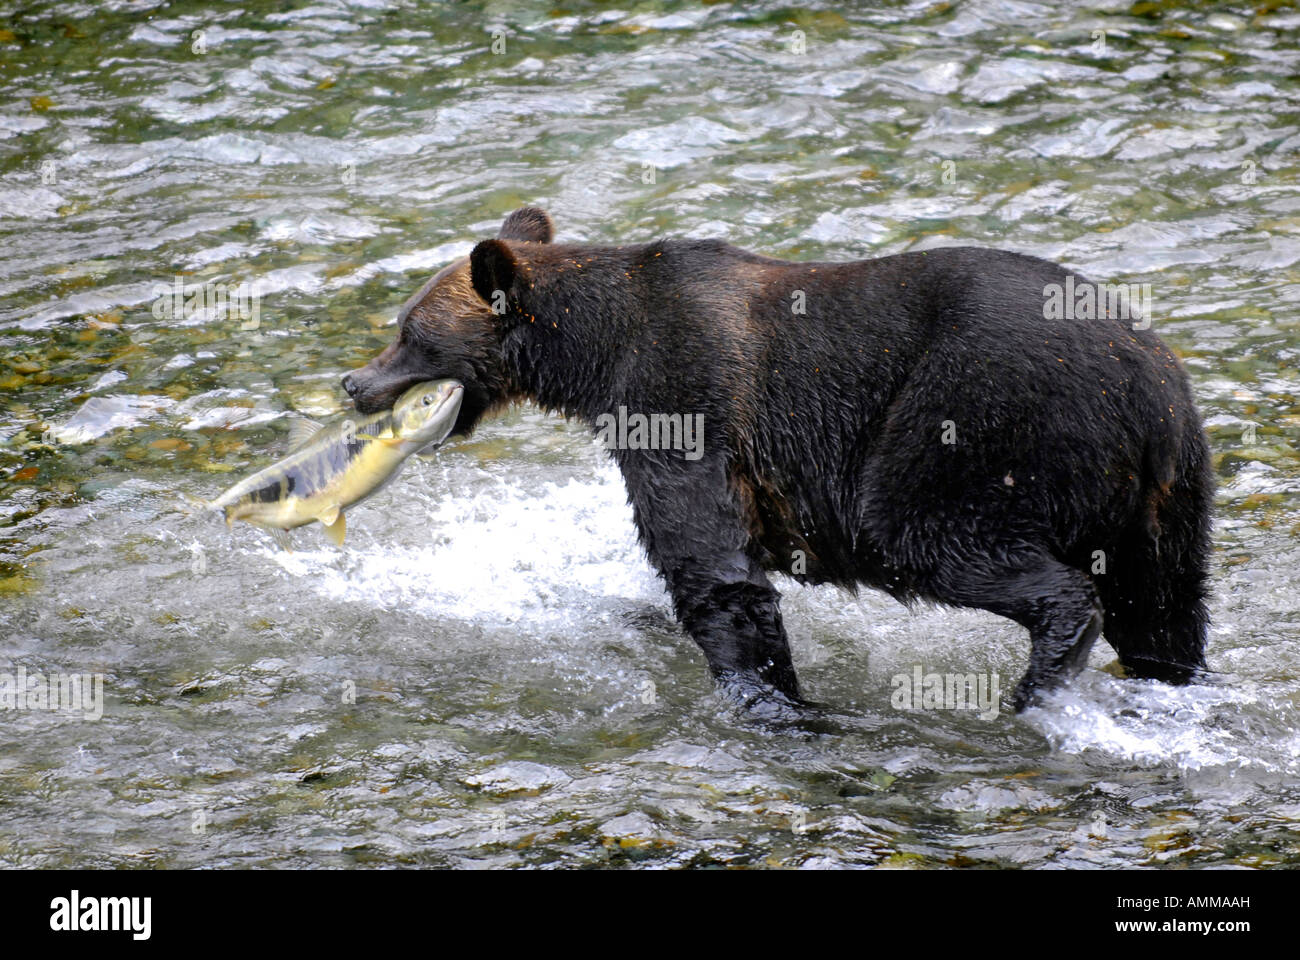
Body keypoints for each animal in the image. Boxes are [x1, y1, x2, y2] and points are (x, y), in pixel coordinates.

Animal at [342, 207, 1213, 716]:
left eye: (408, 332)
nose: (353, 383)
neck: (597, 354)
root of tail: (1146, 380)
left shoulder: (682, 396)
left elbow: (711, 570)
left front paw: (769, 699)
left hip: (973, 419)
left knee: (928, 535)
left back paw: (1037, 682)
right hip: (1166, 488)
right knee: (1162, 600)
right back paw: (1165, 678)